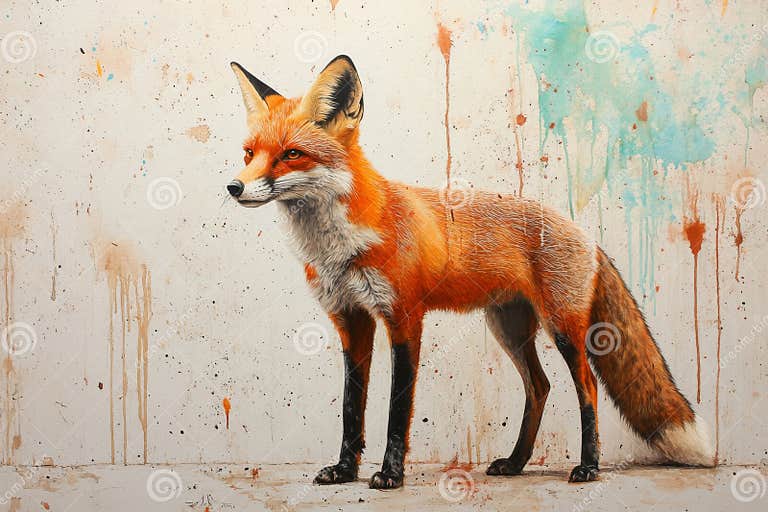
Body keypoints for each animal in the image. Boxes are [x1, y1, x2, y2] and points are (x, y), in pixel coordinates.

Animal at [225, 55, 714, 489]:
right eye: (249, 153)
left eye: (291, 154)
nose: (234, 187)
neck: (339, 245)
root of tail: (585, 234)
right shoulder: (351, 319)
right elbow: (351, 407)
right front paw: (345, 472)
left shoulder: (404, 317)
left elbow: (396, 410)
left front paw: (390, 476)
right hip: (509, 328)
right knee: (540, 387)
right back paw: (516, 463)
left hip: (562, 327)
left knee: (588, 387)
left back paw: (588, 467)